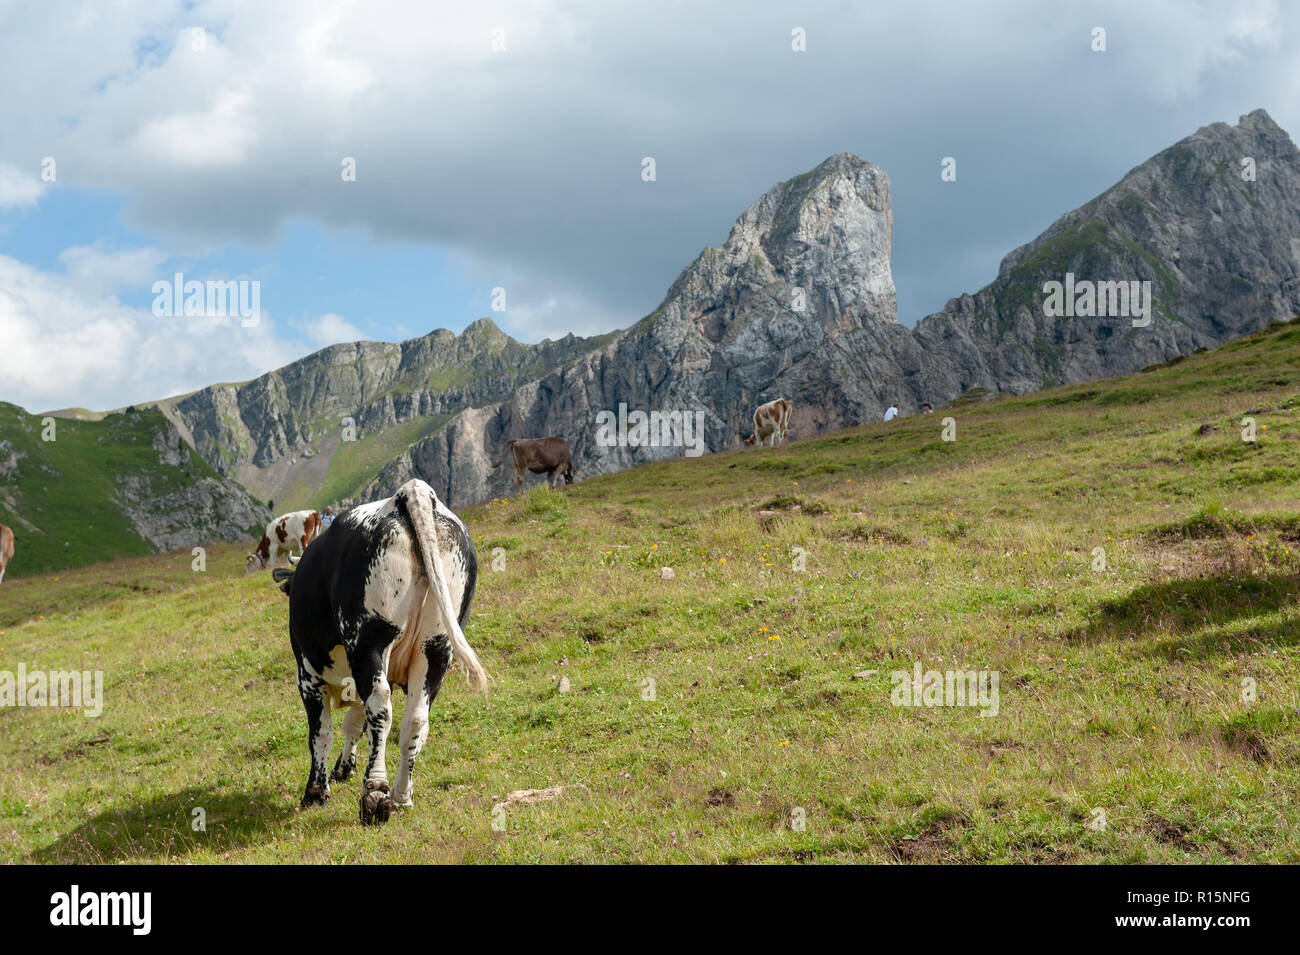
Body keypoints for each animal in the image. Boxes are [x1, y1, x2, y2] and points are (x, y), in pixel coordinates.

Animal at [271, 479, 489, 825]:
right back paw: (401, 795)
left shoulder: (308, 675)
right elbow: (353, 723)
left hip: (369, 642)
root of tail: (410, 492)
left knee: (381, 709)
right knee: (415, 719)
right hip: (436, 647)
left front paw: (316, 792)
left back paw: (375, 793)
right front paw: (343, 767)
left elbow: (322, 733)